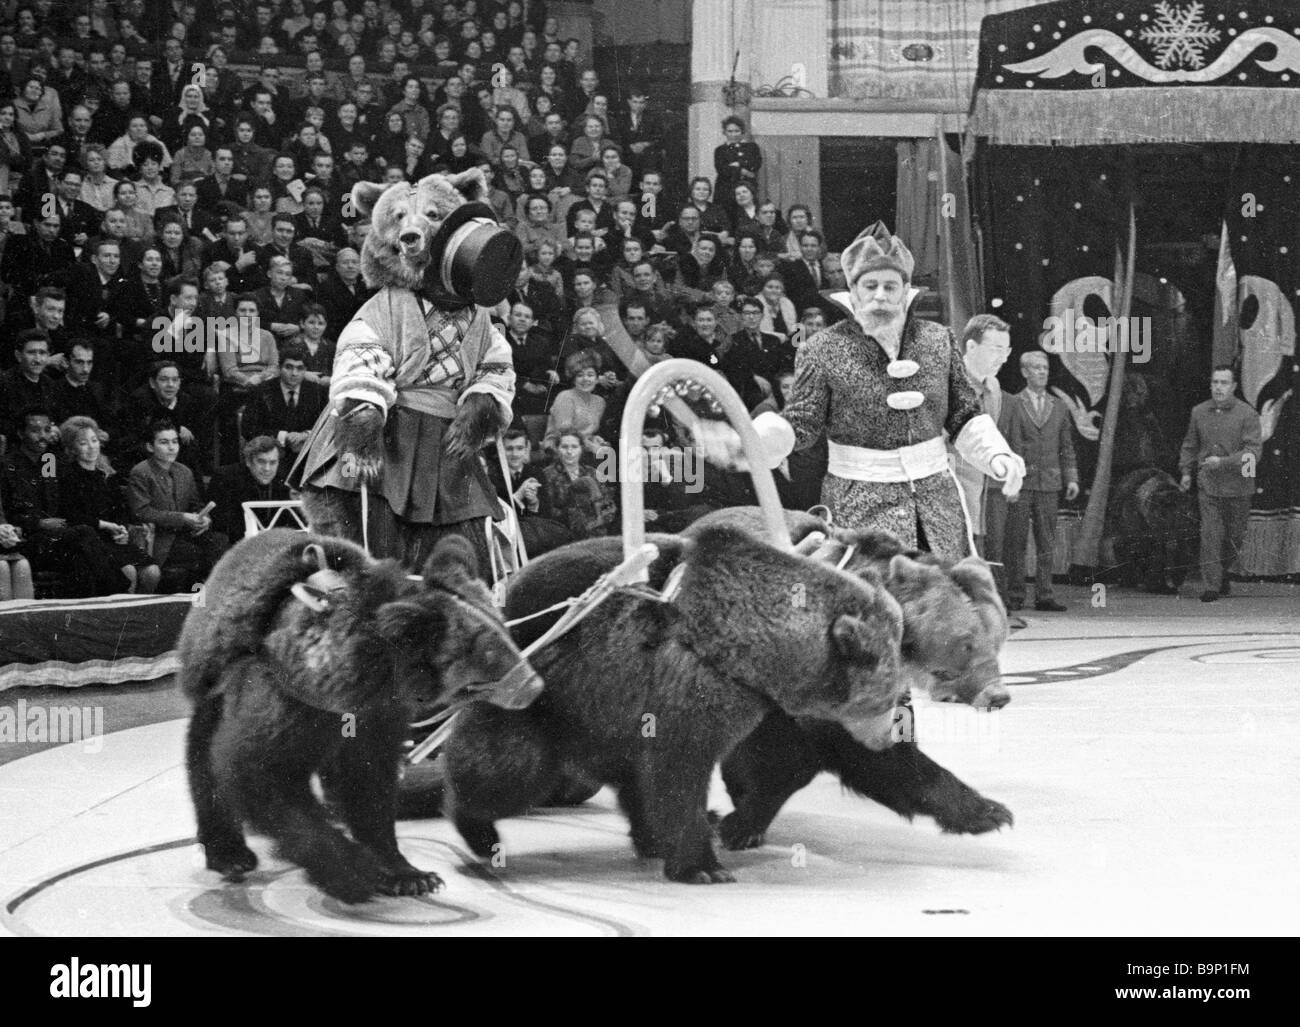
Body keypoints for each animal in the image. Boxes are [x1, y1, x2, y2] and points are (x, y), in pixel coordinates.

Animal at [179, 528, 541, 904]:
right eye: (489, 654)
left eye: (505, 630)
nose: (533, 686)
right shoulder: (279, 697)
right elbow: (255, 769)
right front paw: (353, 870)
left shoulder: (378, 717)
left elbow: (371, 785)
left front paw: (409, 874)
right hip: (209, 679)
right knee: (202, 756)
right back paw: (230, 853)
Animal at [286, 169, 522, 573]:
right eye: (397, 215)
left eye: (432, 212)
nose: (409, 237)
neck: (438, 298)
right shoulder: (378, 318)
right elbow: (367, 371)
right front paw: (364, 455)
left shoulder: (486, 332)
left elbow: (491, 376)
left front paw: (462, 434)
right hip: (335, 484)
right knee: (352, 525)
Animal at [442, 524, 906, 884]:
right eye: (882, 699)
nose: (887, 739)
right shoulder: (694, 692)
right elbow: (680, 772)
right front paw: (703, 865)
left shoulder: (759, 708)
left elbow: (774, 763)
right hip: (548, 703)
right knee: (507, 769)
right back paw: (478, 831)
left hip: (601, 721)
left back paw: (650, 837)